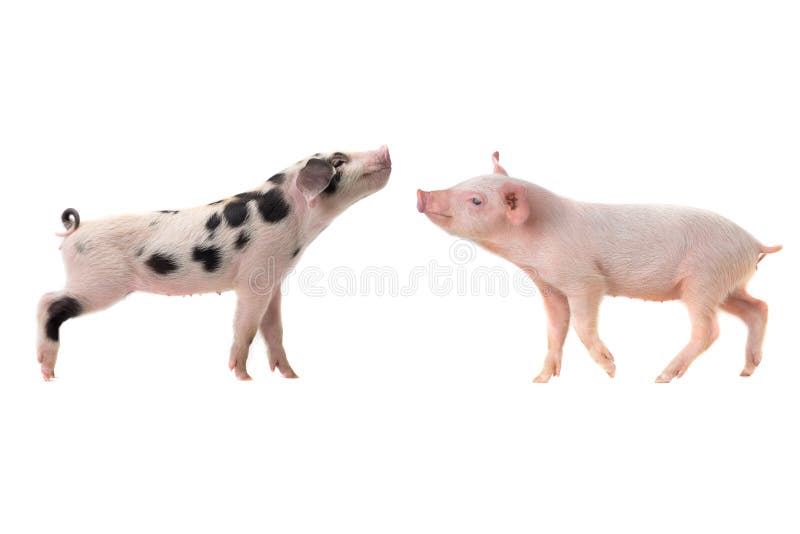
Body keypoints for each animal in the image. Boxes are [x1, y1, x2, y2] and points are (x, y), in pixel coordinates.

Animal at [37, 146, 392, 380]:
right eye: (338, 162)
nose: (385, 148)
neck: (297, 224)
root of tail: (75, 231)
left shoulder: (273, 279)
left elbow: (274, 330)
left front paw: (292, 376)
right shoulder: (254, 278)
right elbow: (246, 328)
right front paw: (244, 377)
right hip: (100, 282)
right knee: (50, 301)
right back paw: (48, 372)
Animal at [417, 152, 781, 382]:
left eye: (476, 200)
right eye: (463, 181)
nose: (422, 193)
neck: (530, 247)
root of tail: (754, 243)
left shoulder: (584, 280)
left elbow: (580, 324)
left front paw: (611, 370)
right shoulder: (550, 287)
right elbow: (555, 329)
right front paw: (540, 379)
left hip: (704, 280)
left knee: (709, 330)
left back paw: (662, 377)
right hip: (728, 284)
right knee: (758, 307)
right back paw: (747, 371)